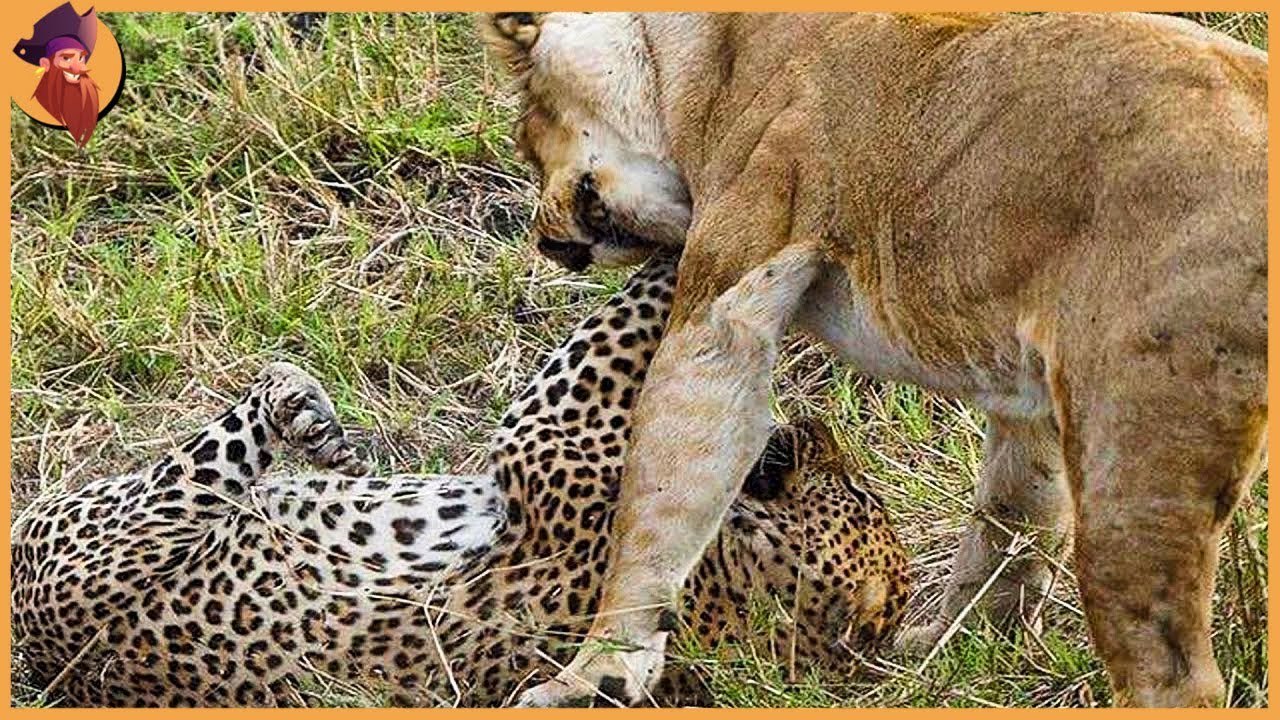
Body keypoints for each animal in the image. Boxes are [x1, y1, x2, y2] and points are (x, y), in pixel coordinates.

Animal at [12, 253, 910, 707]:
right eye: (868, 497)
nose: (821, 434)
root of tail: (51, 657)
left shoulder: (553, 432)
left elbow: (641, 307)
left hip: (109, 532)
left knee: (227, 447)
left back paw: (302, 412)